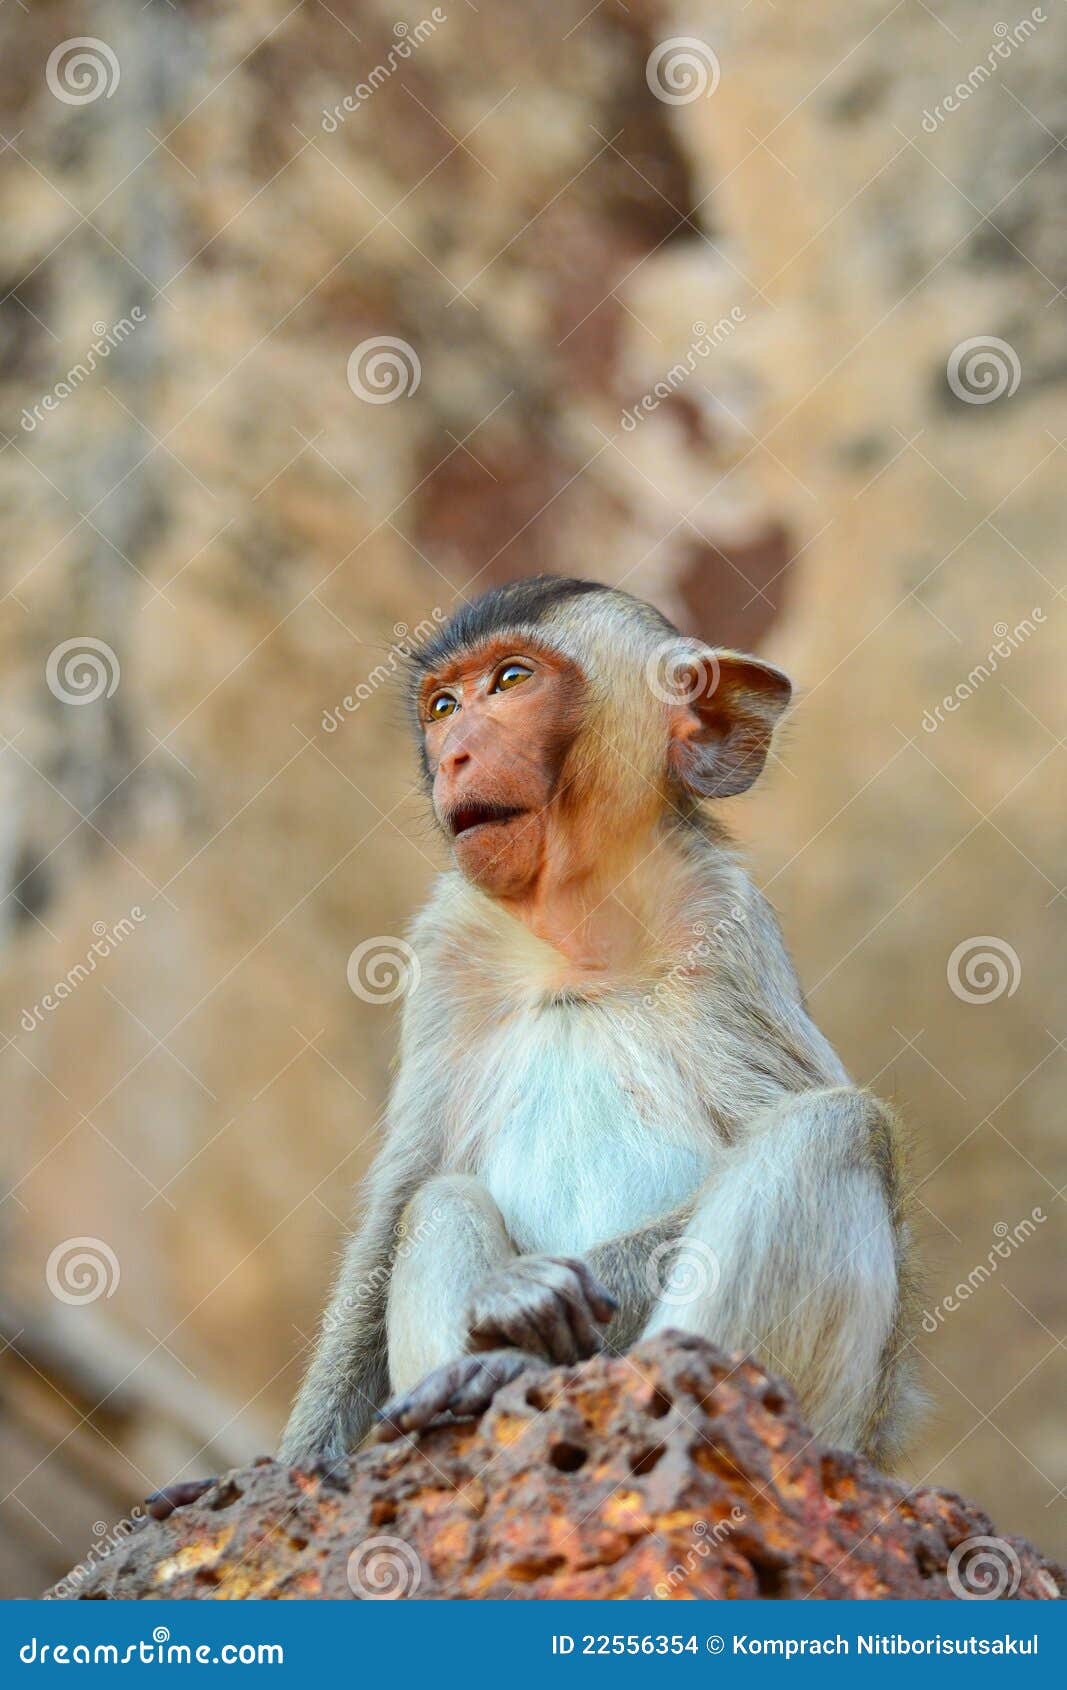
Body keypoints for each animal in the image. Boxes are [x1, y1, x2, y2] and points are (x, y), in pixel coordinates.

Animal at [147, 575, 919, 1520]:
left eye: (512, 680)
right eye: (443, 706)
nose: (453, 756)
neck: (574, 934)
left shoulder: (726, 927)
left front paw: (541, 1296)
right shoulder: (447, 943)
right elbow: (403, 1192)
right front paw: (288, 1465)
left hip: (824, 1429)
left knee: (835, 1130)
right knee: (438, 1201)